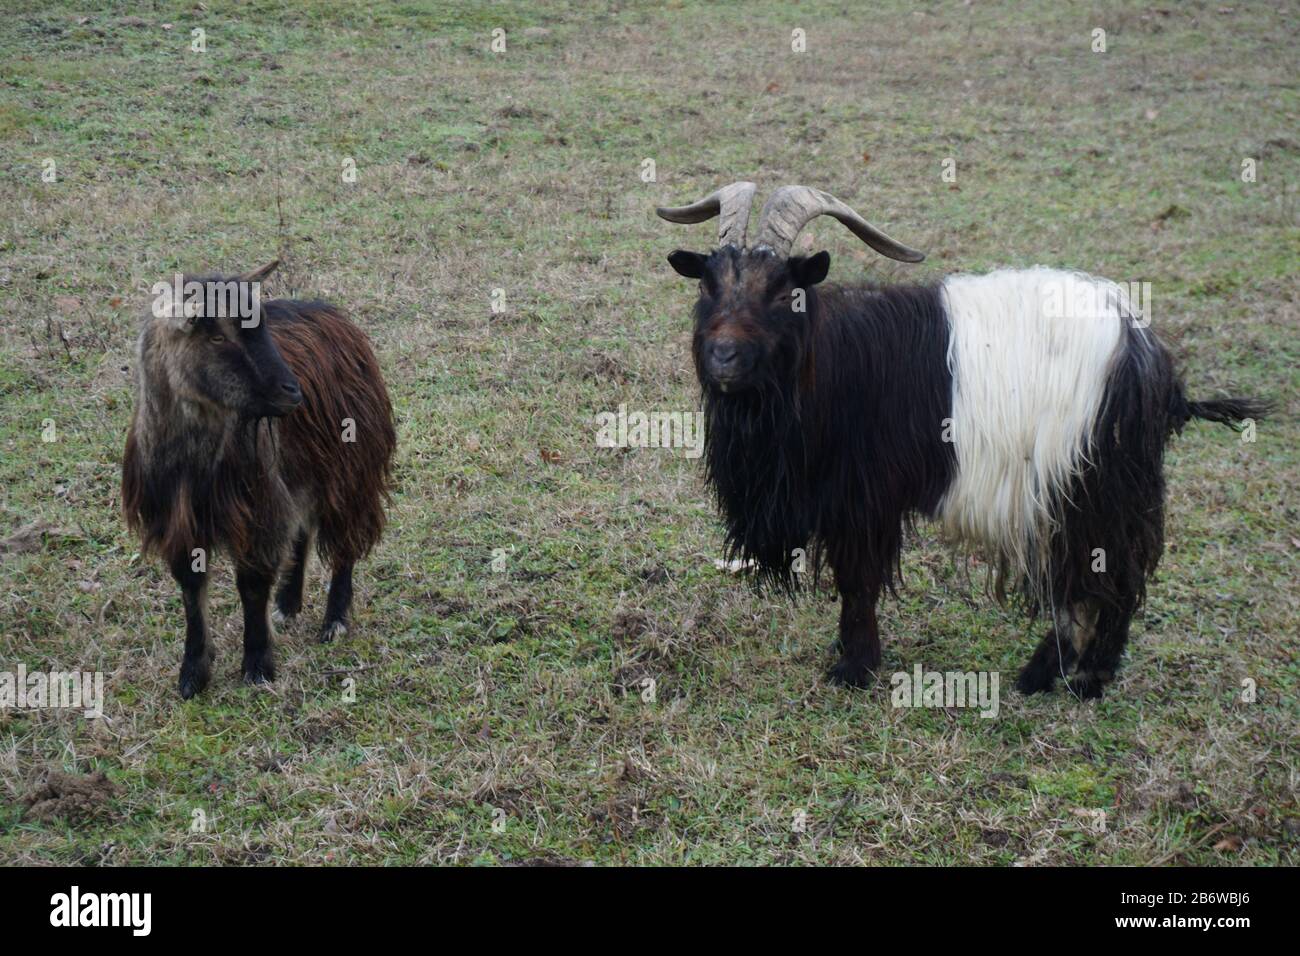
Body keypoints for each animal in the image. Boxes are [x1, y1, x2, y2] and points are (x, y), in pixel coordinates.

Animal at [121, 261, 396, 698]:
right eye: (216, 334)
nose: (292, 392)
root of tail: (329, 311)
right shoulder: (180, 521)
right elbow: (190, 587)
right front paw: (193, 674)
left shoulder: (256, 509)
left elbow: (251, 584)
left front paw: (257, 666)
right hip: (300, 469)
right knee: (302, 530)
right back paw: (288, 602)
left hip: (350, 466)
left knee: (345, 539)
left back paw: (334, 620)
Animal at [658, 182, 1270, 698]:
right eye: (709, 284)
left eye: (784, 291)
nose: (723, 358)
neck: (824, 362)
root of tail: (1153, 363)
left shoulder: (864, 497)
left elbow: (858, 581)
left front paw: (853, 668)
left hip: (1091, 484)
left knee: (1110, 579)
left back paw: (1077, 680)